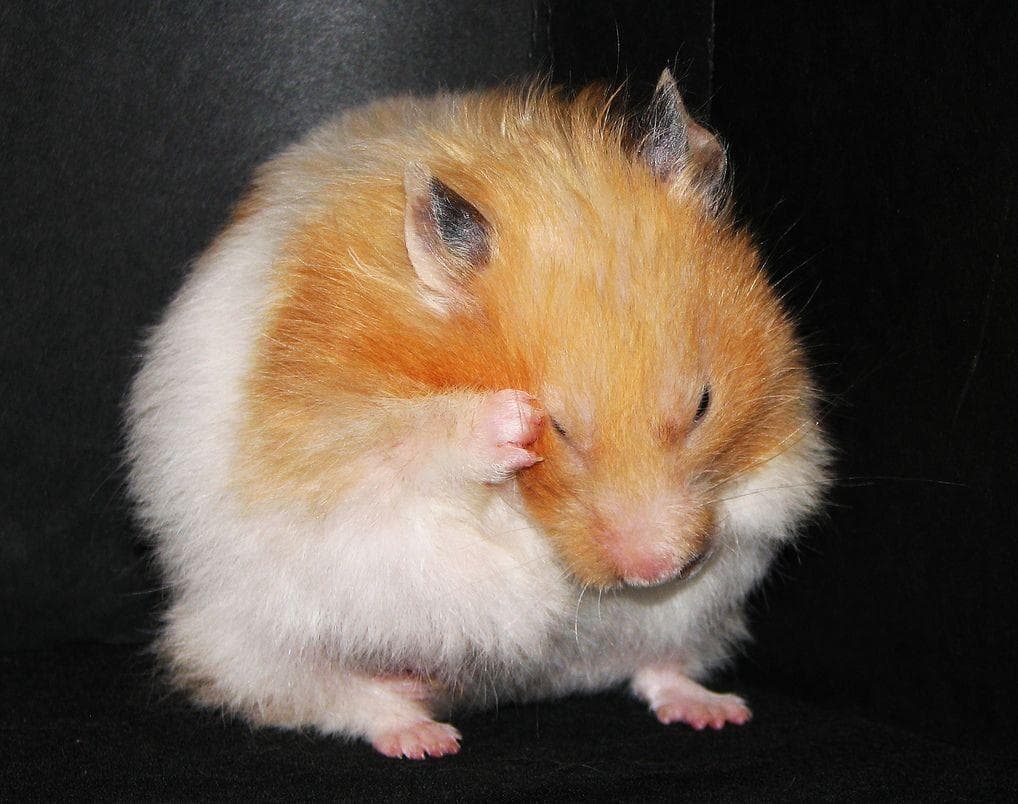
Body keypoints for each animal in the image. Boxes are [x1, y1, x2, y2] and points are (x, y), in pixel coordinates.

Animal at [125, 70, 830, 759]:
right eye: (560, 428)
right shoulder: (324, 443)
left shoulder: (785, 455)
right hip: (262, 638)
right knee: (328, 697)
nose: (658, 572)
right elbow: (404, 444)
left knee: (656, 668)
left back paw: (715, 711)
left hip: (687, 629)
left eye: (705, 404)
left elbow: (769, 495)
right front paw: (510, 421)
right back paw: (420, 728)